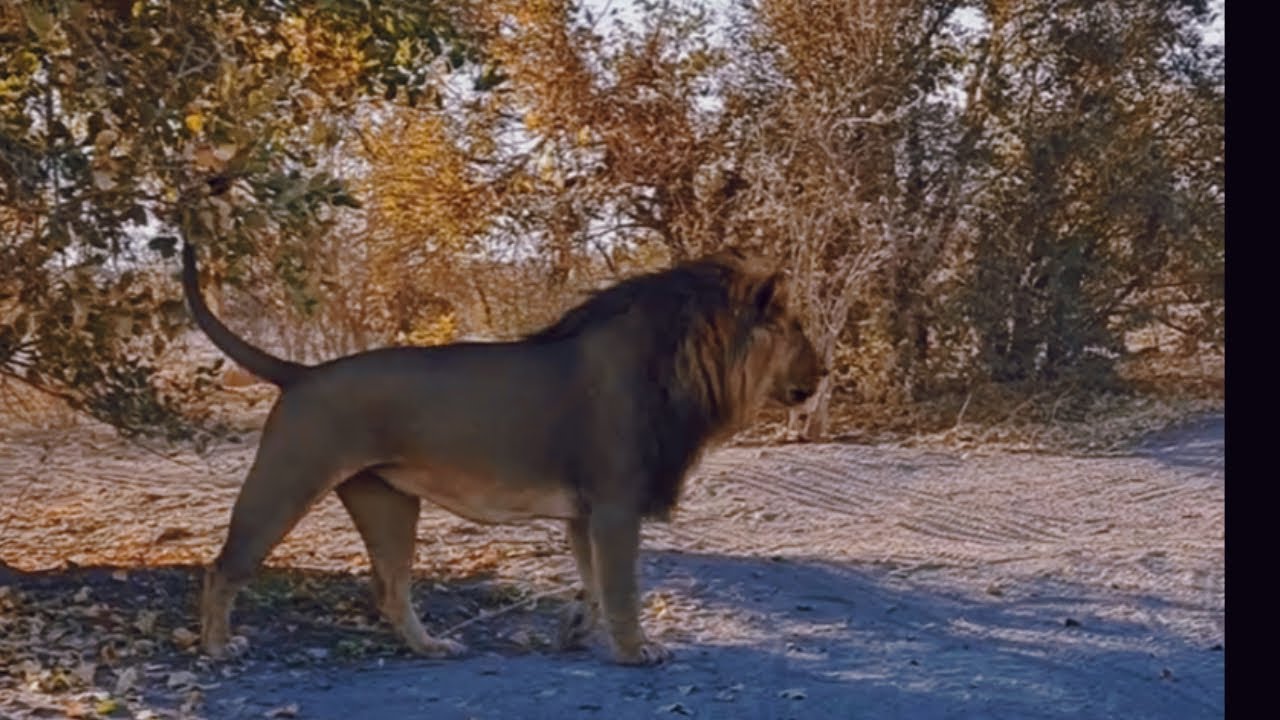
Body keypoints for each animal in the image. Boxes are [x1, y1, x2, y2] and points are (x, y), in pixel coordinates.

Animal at [182, 243, 825, 665]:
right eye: (796, 329)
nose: (824, 373)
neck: (683, 365)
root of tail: (302, 372)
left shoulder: (584, 515)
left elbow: (593, 584)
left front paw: (574, 630)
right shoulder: (615, 506)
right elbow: (622, 588)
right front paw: (637, 652)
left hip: (388, 505)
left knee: (391, 589)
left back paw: (431, 647)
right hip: (288, 480)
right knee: (222, 568)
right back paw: (218, 648)